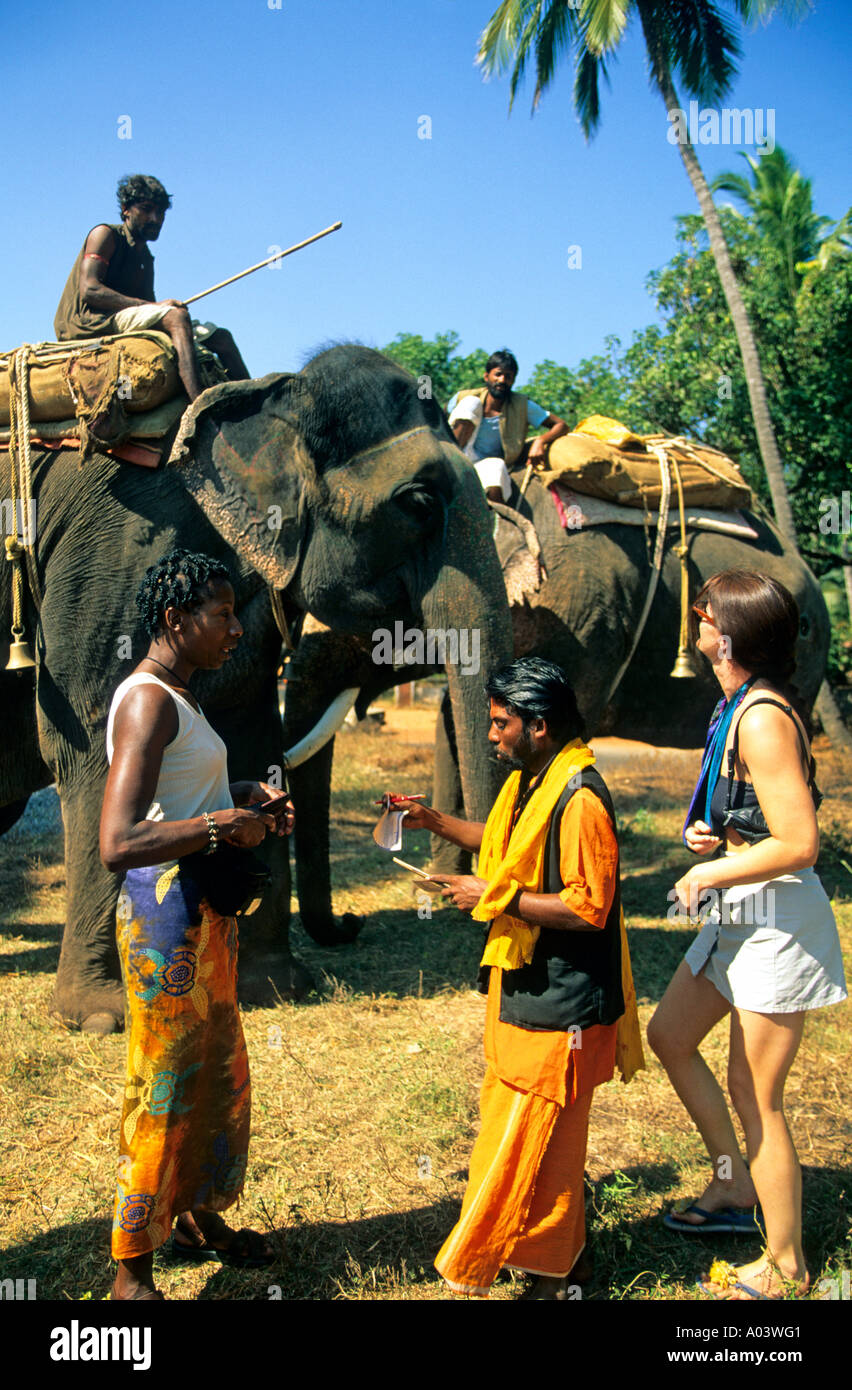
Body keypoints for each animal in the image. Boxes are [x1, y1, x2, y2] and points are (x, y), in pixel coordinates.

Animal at [0, 345, 513, 1032]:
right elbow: (90, 746)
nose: (352, 924)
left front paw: (278, 987)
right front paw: (99, 1018)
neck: (267, 395)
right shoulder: (112, 560)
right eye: (420, 501)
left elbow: (250, 735)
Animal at [281, 457, 830, 928]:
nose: (349, 922)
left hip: (802, 657)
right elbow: (453, 720)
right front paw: (442, 885)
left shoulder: (583, 622)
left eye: (370, 618)